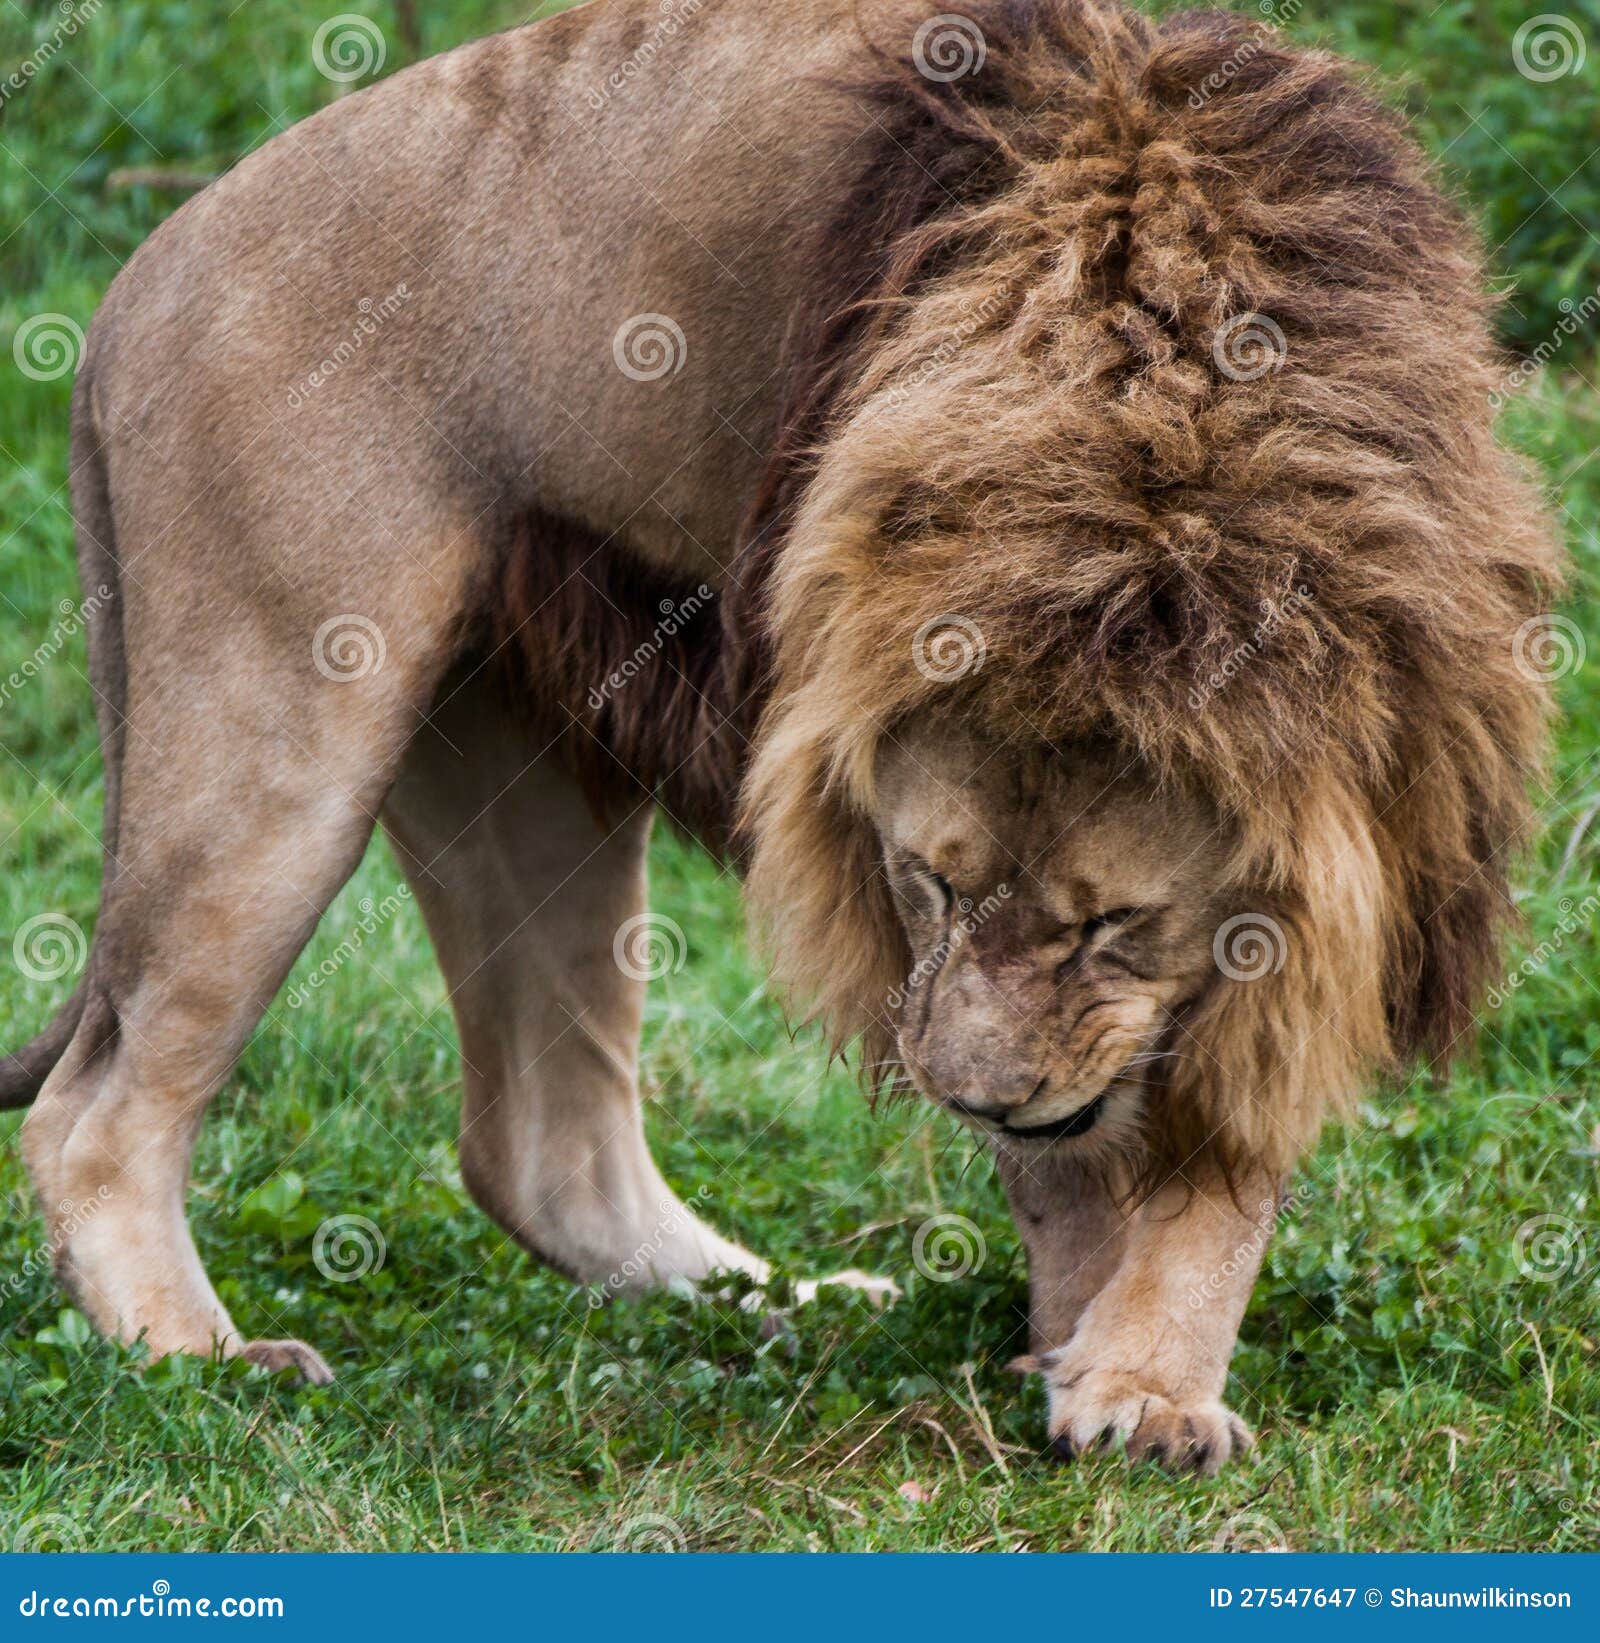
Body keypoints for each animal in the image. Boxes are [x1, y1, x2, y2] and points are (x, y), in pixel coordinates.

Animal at [0, 0, 1561, 1473]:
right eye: (925, 882)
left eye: (1111, 923)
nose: (971, 1099)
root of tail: (134, 282)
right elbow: (1076, 1174)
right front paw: (1102, 1360)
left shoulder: (1348, 854)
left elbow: (1212, 1163)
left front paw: (1134, 1371)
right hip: (283, 729)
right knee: (95, 1112)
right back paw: (200, 1358)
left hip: (526, 764)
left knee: (540, 1143)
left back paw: (775, 1301)